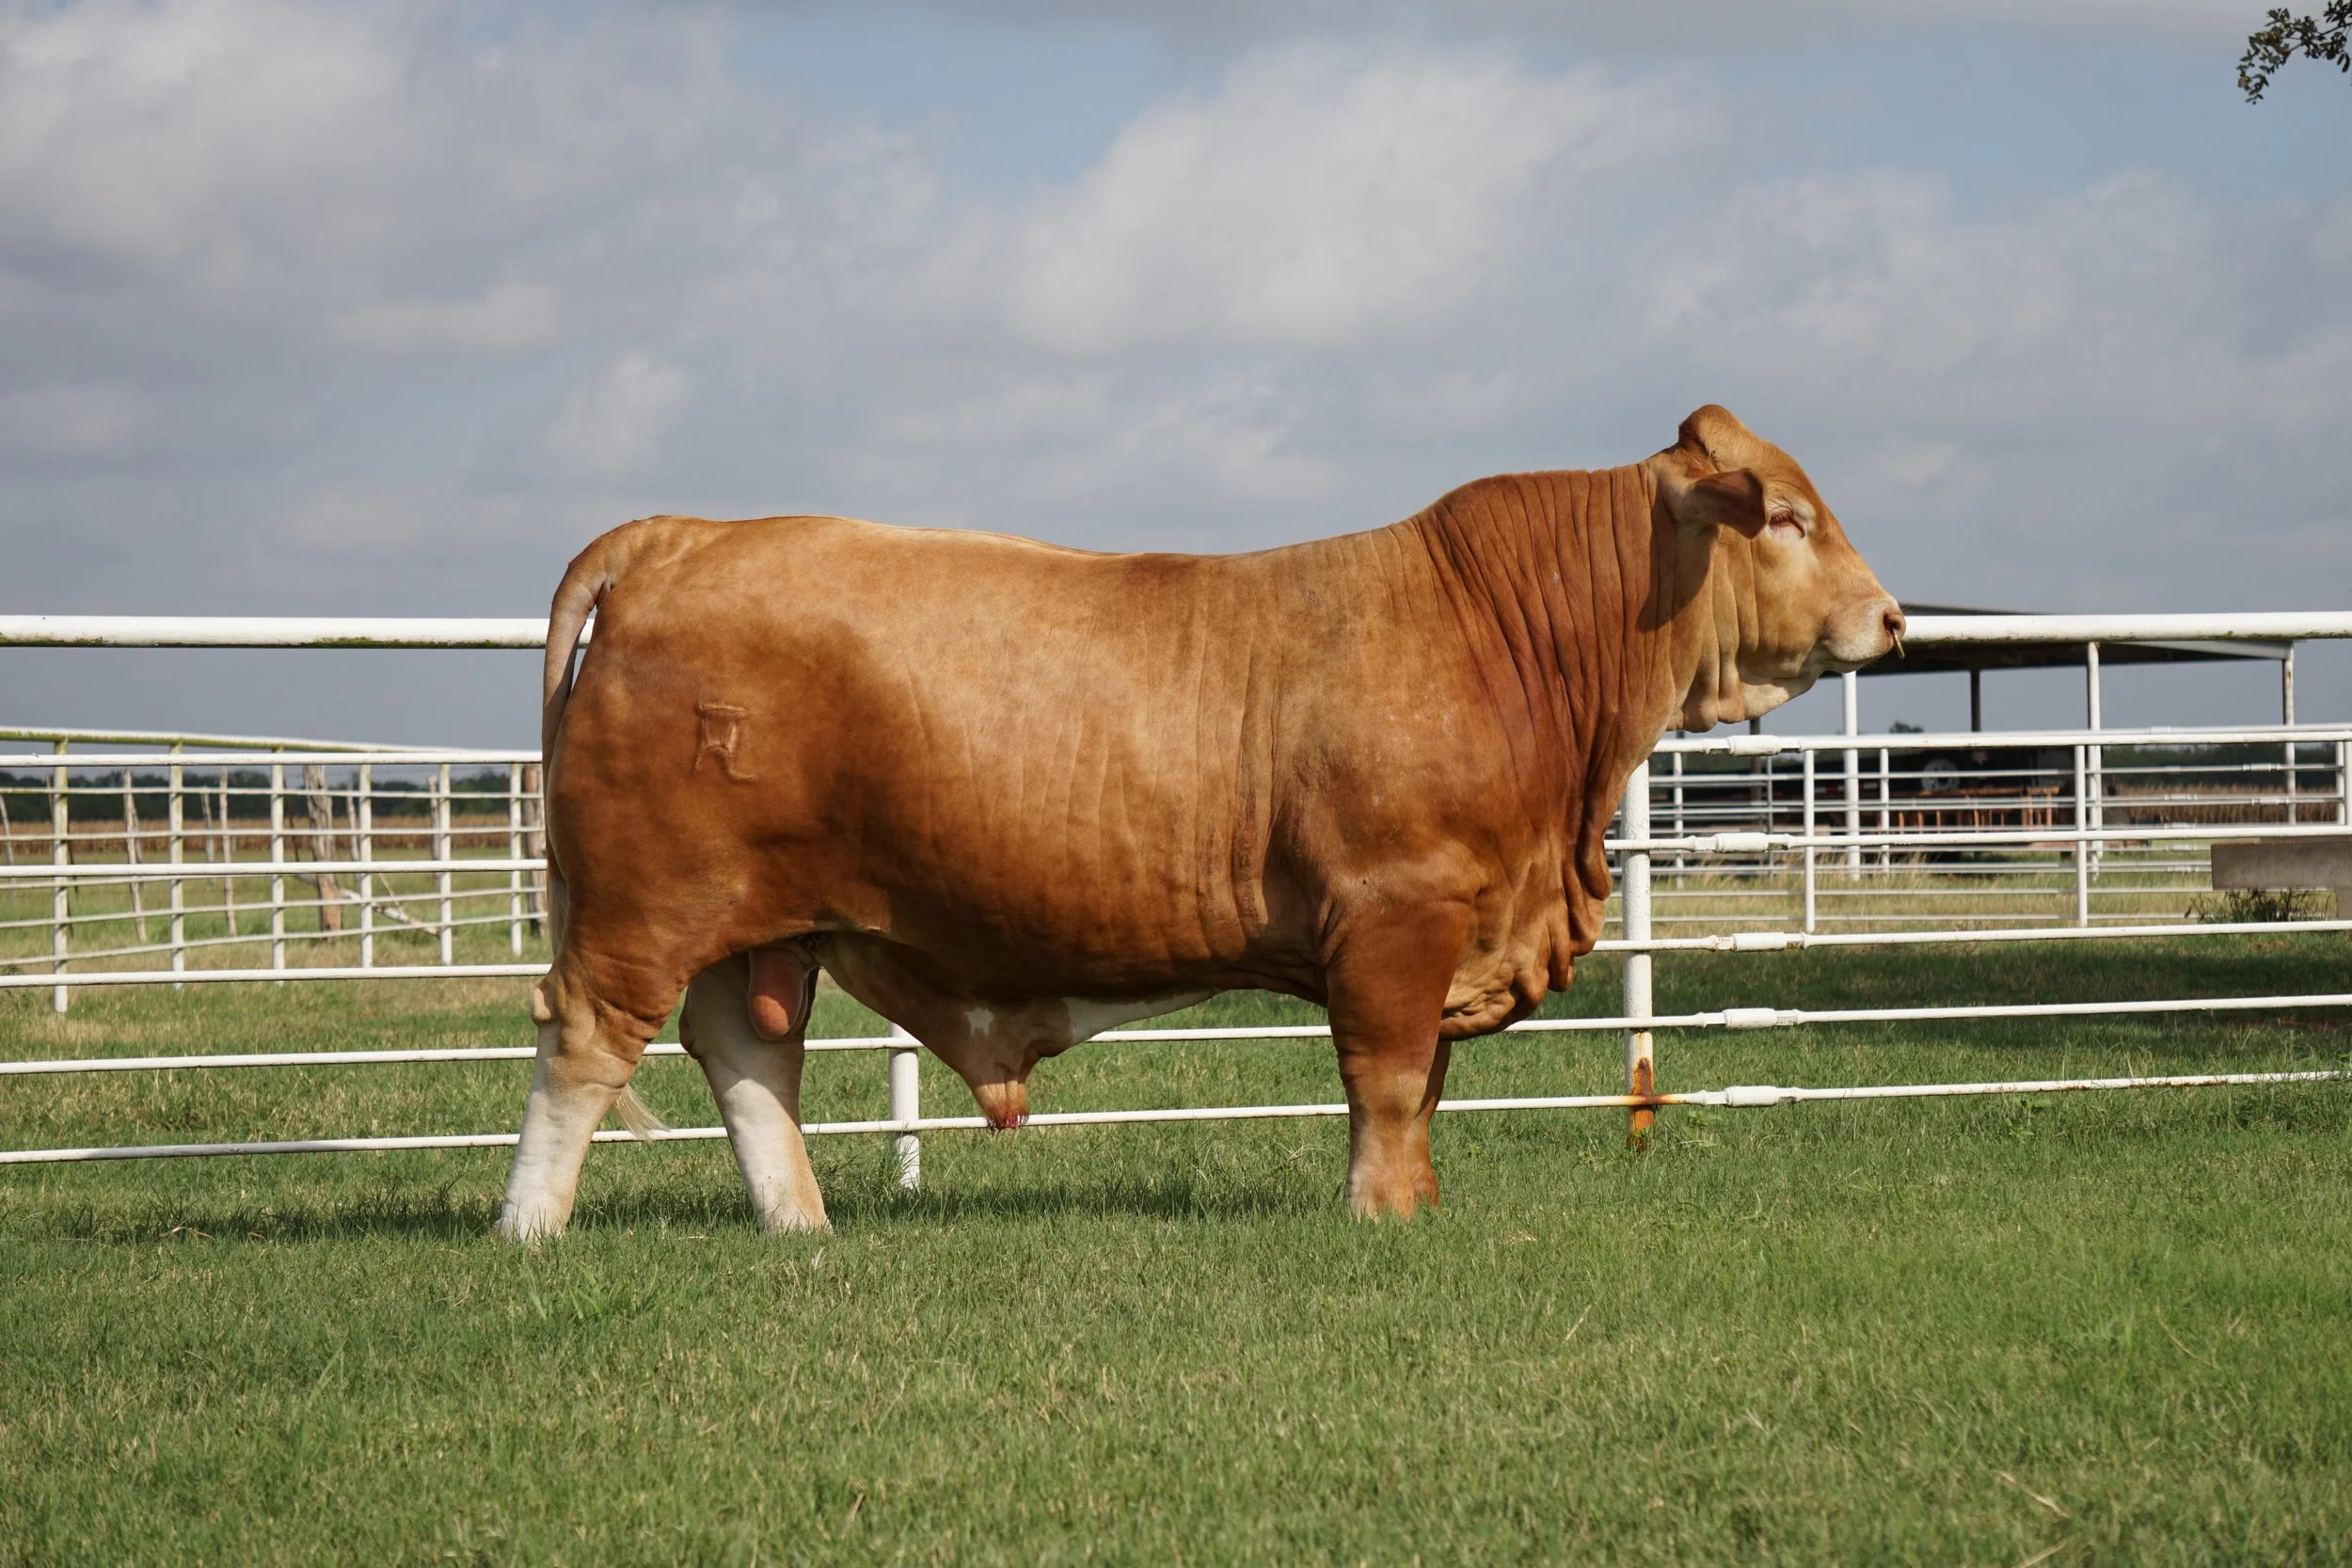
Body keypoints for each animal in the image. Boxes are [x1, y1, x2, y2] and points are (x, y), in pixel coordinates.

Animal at [495, 405, 1902, 1241]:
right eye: (1785, 514)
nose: (1890, 617)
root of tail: (679, 535)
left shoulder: (1444, 925)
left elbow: (1427, 1085)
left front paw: (1418, 1202)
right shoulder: (1395, 913)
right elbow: (1388, 1075)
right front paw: (1379, 1214)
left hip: (756, 921)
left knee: (744, 1049)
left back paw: (801, 1224)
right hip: (645, 900)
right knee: (585, 1040)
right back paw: (529, 1226)